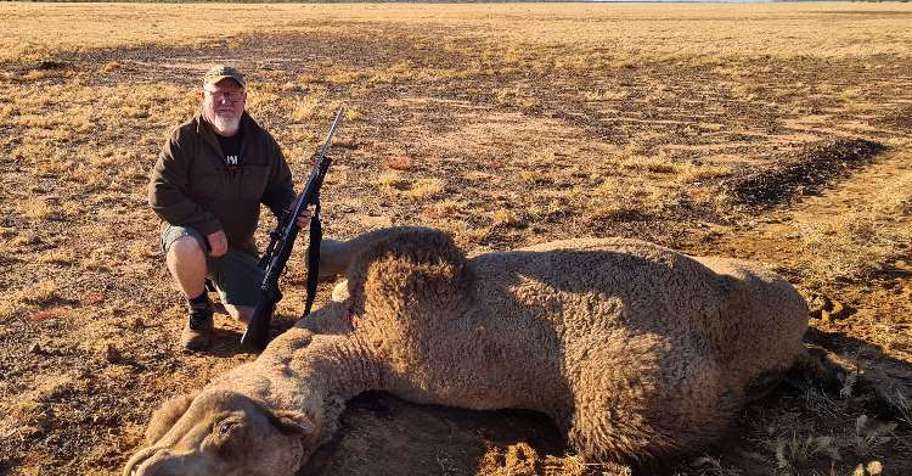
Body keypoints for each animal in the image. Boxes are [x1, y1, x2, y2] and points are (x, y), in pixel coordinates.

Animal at [125, 227, 809, 475]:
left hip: (740, 293)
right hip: (637, 386)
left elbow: (368, 244)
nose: (146, 467)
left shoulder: (406, 275)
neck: (355, 341)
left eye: (229, 432)